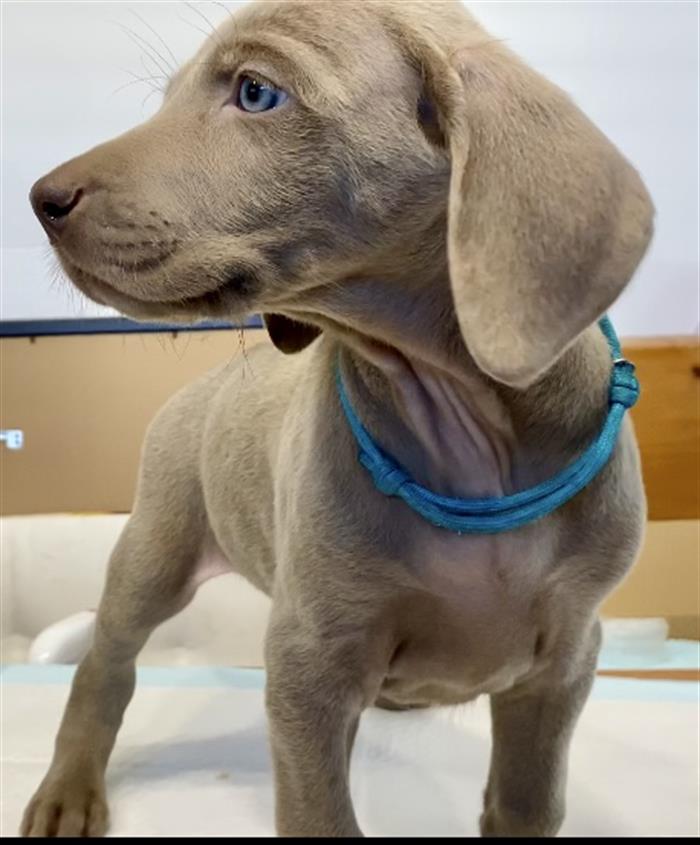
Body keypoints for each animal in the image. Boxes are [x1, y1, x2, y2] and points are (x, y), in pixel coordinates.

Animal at [24, 0, 652, 832]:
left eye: (256, 92)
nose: (42, 200)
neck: (470, 437)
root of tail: (203, 384)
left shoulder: (565, 660)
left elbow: (528, 802)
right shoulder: (308, 665)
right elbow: (320, 811)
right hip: (156, 546)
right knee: (106, 661)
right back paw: (70, 786)